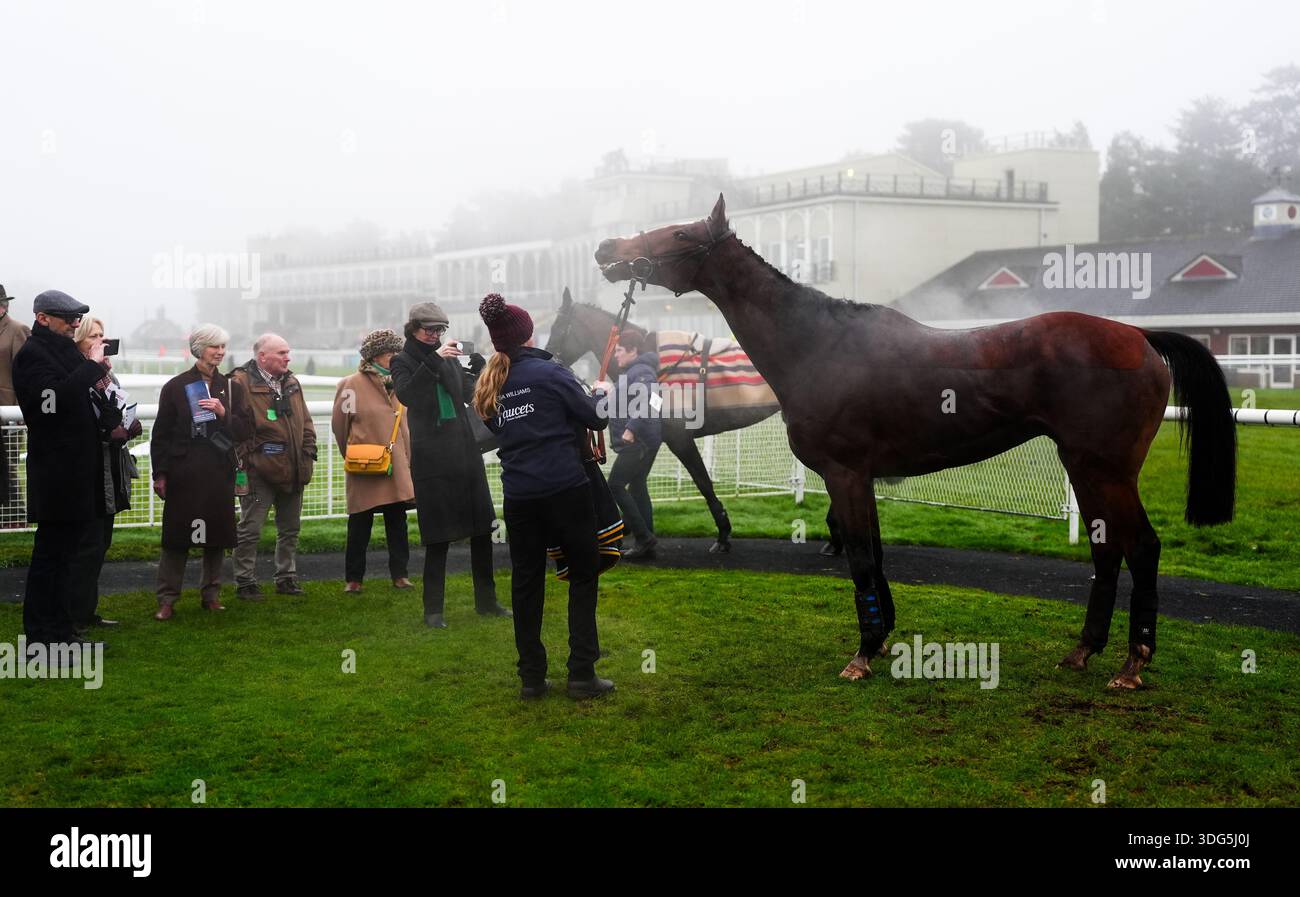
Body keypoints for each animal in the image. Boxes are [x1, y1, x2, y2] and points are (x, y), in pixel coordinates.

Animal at [545, 288, 783, 553]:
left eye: (558, 327)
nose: (547, 359)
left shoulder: (680, 438)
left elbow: (703, 482)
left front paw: (723, 533)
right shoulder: (656, 439)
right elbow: (637, 482)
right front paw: (633, 531)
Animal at [594, 194, 1237, 690]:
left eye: (681, 233)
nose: (606, 250)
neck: (817, 343)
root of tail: (1138, 336)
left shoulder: (845, 473)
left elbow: (859, 559)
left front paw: (861, 655)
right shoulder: (862, 477)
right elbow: (875, 556)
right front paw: (880, 642)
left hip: (1108, 469)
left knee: (1142, 547)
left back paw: (1132, 666)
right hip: (1084, 466)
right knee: (1107, 551)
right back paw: (1082, 651)